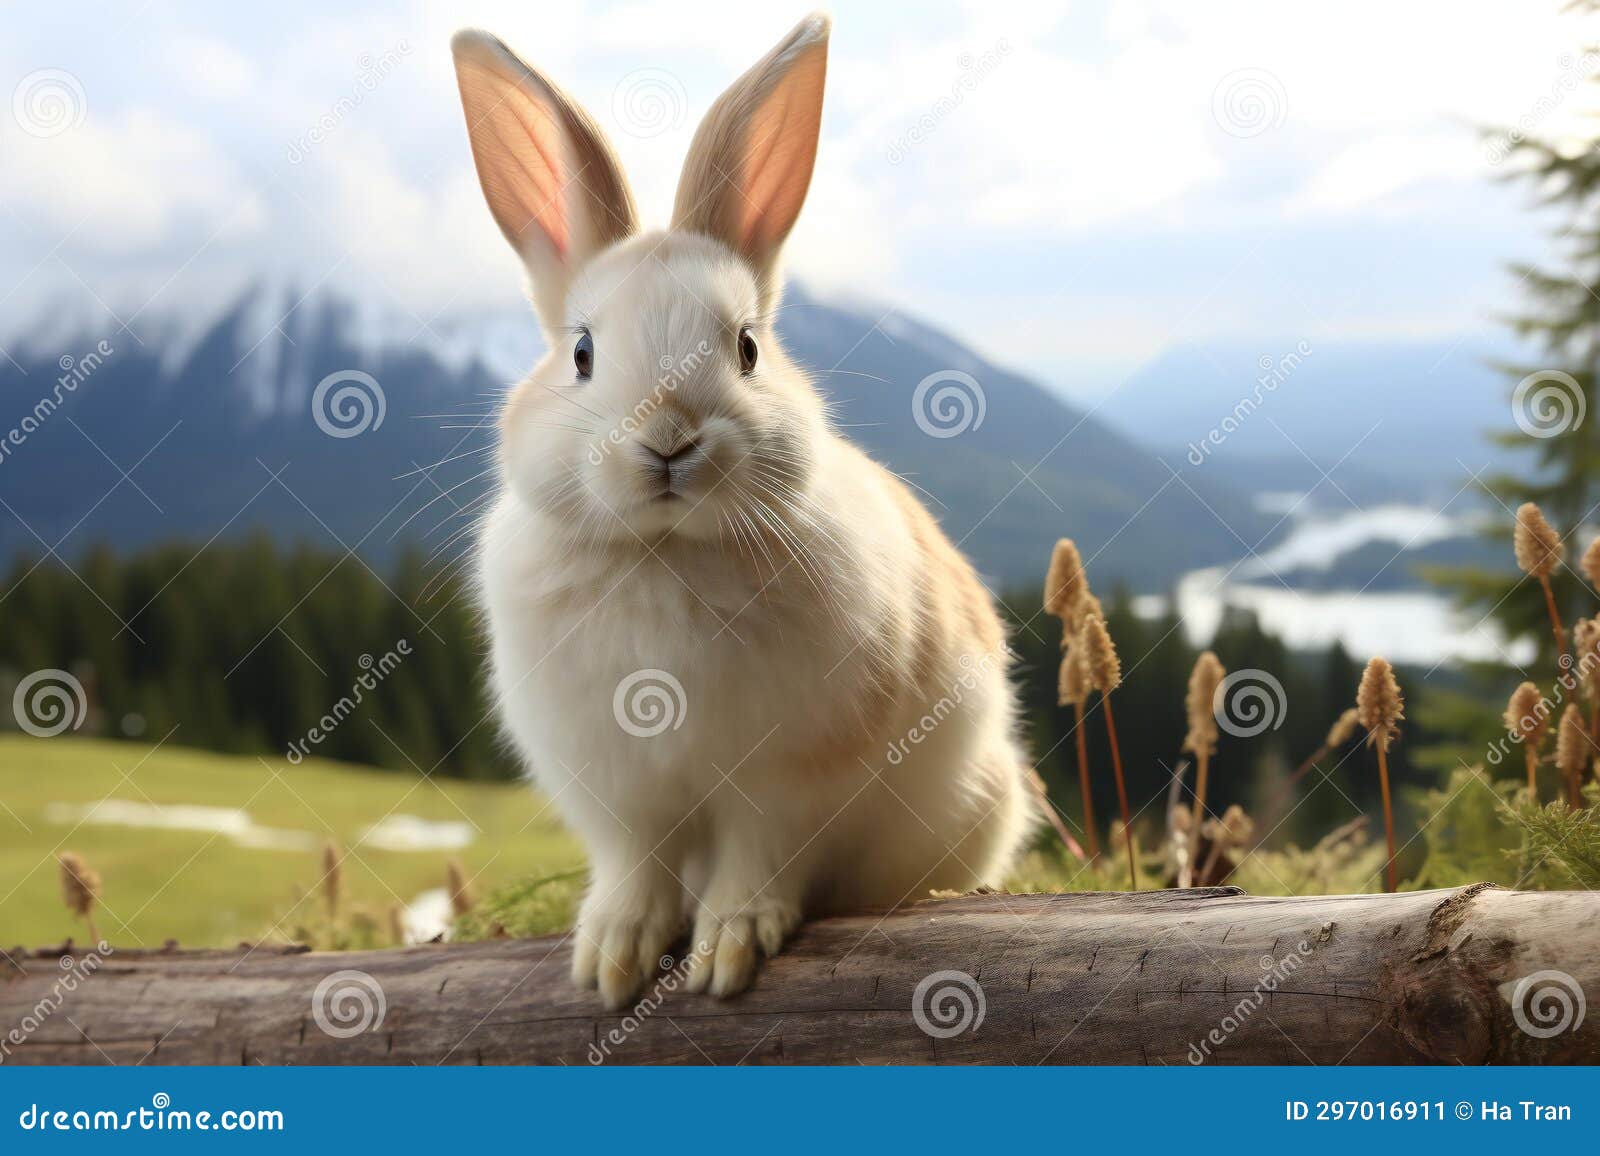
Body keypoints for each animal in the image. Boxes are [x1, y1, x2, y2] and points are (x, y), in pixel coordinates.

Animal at [454, 12, 1035, 1009]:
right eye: (581, 353)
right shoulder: (619, 792)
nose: (669, 441)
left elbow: (759, 859)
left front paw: (728, 950)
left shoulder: (788, 778)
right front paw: (611, 961)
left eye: (749, 348)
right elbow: (636, 867)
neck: (664, 550)